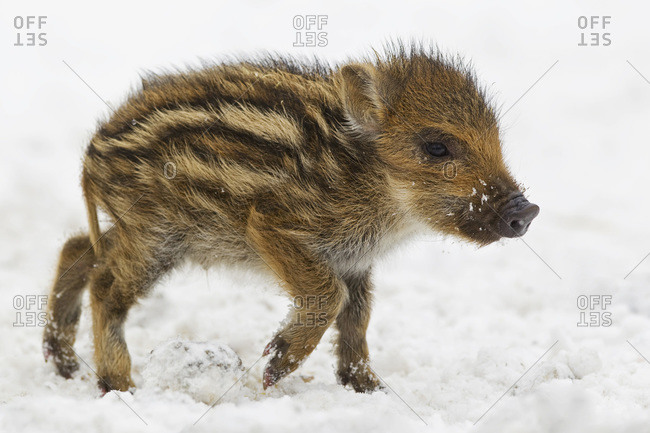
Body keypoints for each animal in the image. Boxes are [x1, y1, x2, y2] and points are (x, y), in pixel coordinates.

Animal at [42, 42, 539, 394]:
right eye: (437, 147)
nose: (526, 210)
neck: (372, 182)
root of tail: (93, 152)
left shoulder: (354, 260)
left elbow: (358, 316)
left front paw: (368, 388)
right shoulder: (271, 223)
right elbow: (330, 296)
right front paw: (272, 371)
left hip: (144, 231)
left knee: (77, 247)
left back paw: (63, 365)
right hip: (154, 234)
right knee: (105, 287)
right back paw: (120, 385)